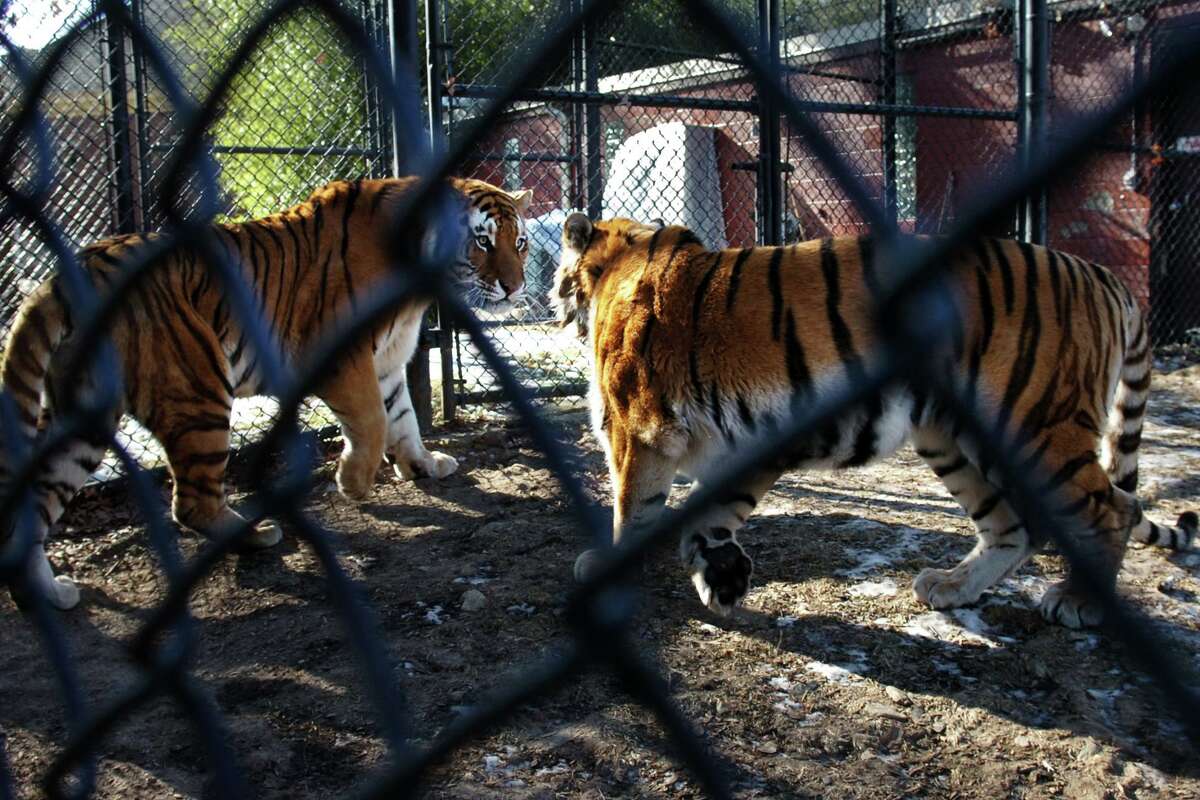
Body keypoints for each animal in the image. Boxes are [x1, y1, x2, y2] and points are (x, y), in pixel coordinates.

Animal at [0, 176, 532, 610]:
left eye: (520, 242)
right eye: (482, 241)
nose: (513, 287)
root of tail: (78, 269)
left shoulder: (387, 362)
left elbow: (404, 418)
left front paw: (422, 465)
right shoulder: (341, 356)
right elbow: (373, 421)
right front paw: (353, 483)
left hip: (84, 422)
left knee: (36, 505)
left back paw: (49, 595)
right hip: (199, 392)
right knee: (190, 502)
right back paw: (257, 534)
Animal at [554, 213, 1197, 628]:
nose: (551, 301)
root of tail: (1104, 276)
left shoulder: (634, 430)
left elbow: (634, 508)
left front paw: (605, 566)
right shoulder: (751, 439)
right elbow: (709, 514)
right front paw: (725, 575)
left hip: (1036, 425)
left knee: (1115, 507)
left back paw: (1078, 601)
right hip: (953, 439)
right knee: (1015, 526)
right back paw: (951, 586)